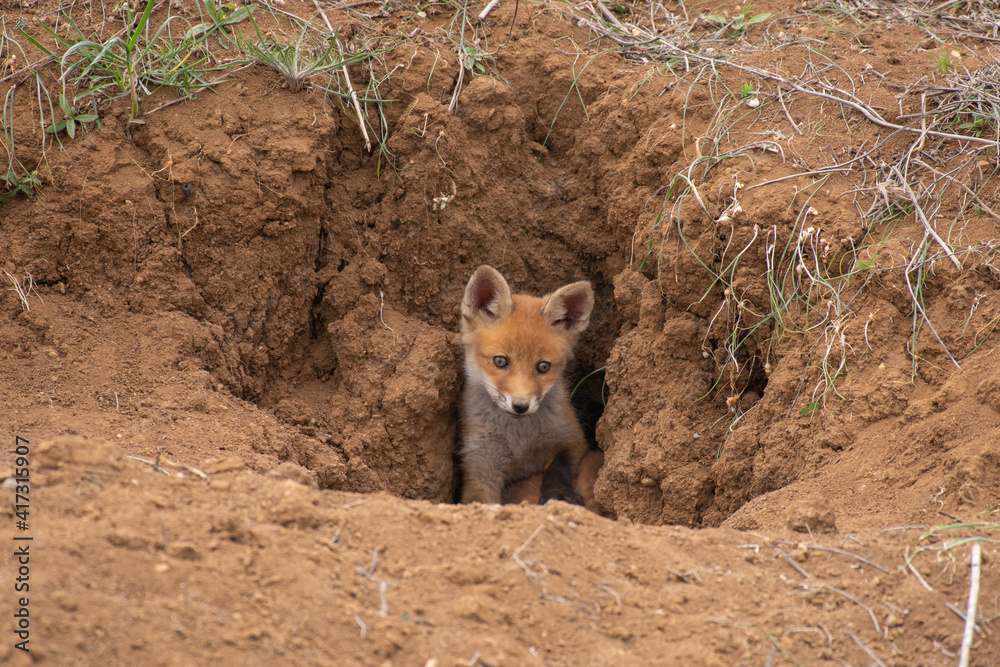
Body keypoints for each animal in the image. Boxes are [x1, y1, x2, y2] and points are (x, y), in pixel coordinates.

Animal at [458, 265, 601, 509]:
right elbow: (480, 500)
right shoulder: (481, 466)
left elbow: (558, 466)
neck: (520, 439)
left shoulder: (573, 439)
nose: (520, 406)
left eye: (543, 366)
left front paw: (559, 494)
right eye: (500, 361)